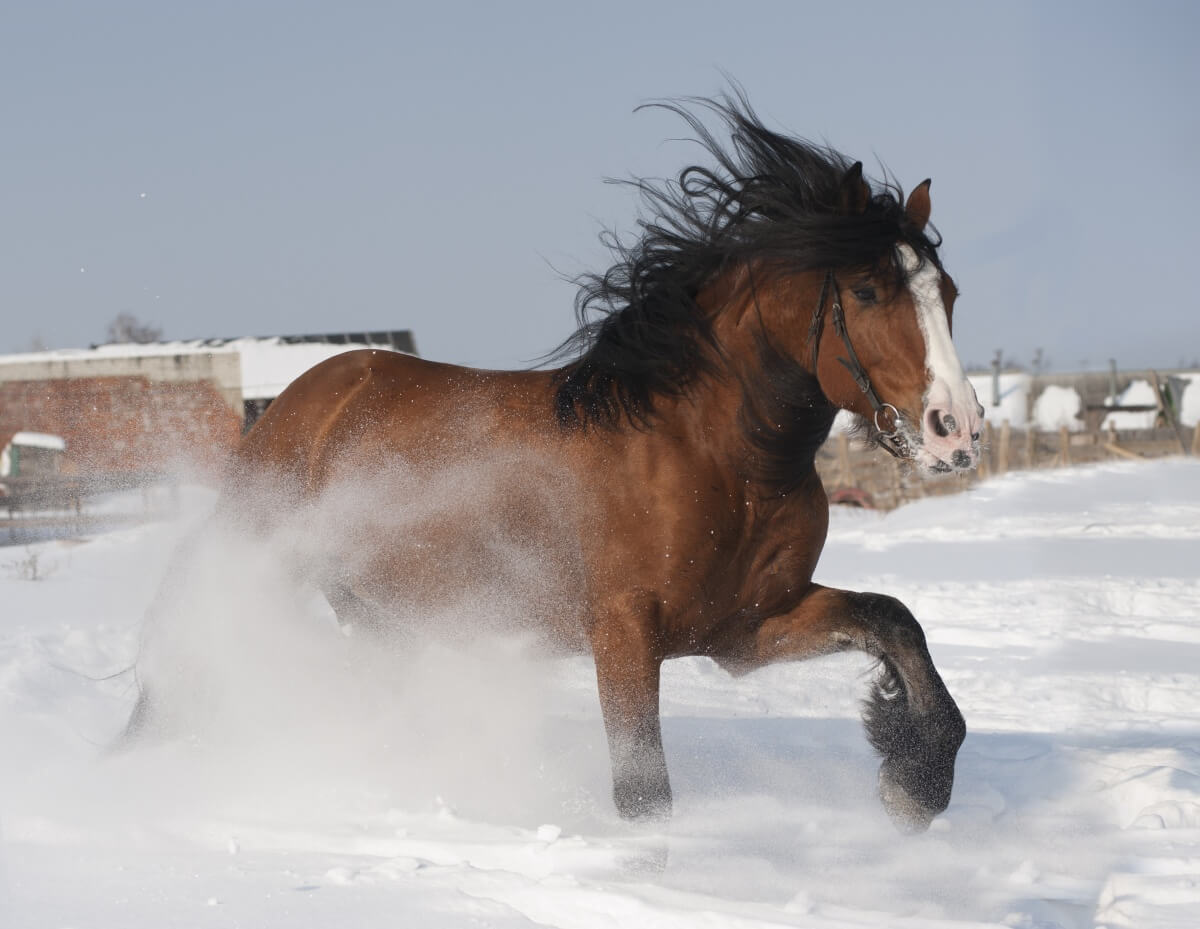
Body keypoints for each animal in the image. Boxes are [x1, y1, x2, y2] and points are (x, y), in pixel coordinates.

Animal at [125, 93, 982, 833]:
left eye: (948, 291)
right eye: (866, 290)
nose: (957, 430)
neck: (721, 459)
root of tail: (305, 398)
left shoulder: (746, 627)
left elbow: (893, 621)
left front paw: (915, 783)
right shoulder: (624, 632)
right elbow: (643, 793)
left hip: (379, 614)